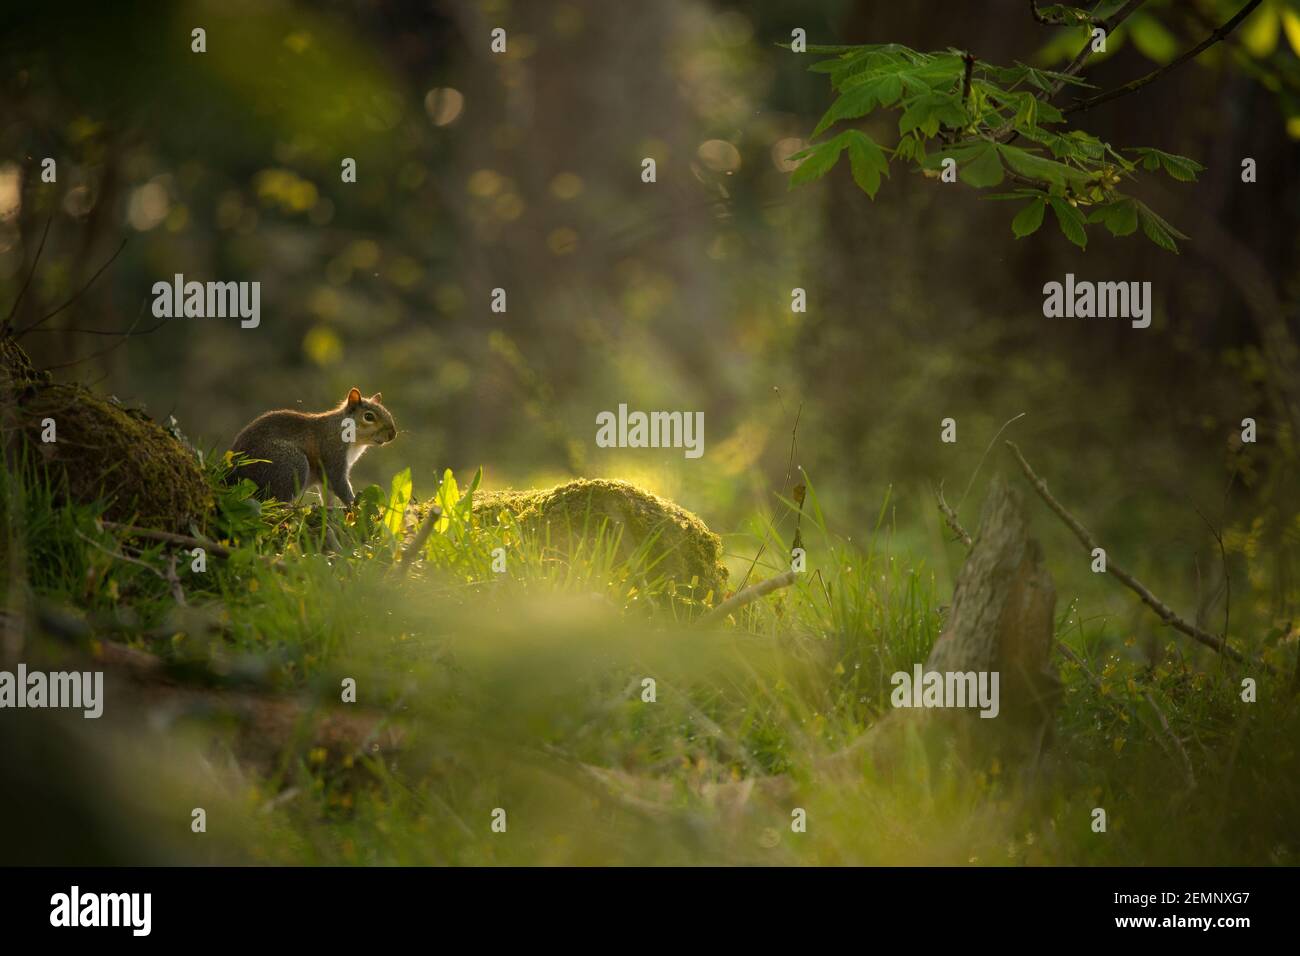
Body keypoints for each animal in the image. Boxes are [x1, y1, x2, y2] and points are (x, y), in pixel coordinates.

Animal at [229, 387, 397, 506]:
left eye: (389, 413)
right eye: (368, 417)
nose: (392, 434)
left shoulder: (324, 478)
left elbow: (328, 495)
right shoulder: (333, 456)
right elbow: (340, 485)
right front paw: (355, 506)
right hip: (291, 464)